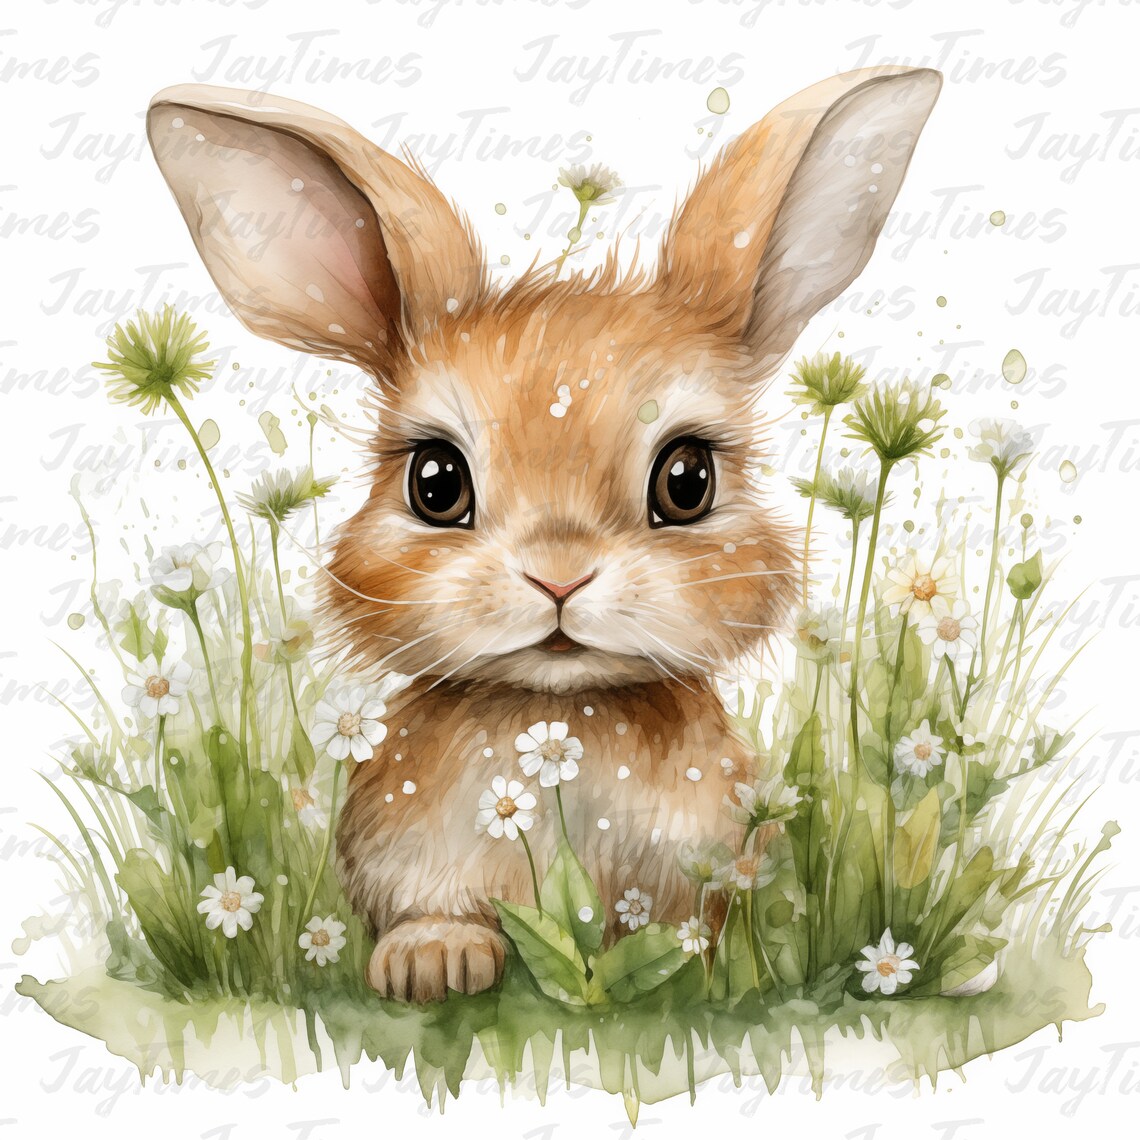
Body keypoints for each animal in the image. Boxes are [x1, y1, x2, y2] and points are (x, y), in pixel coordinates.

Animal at [147, 65, 941, 1003]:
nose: (559, 577)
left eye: (687, 481)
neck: (560, 712)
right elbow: (432, 914)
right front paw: (433, 961)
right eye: (436, 484)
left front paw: (690, 972)